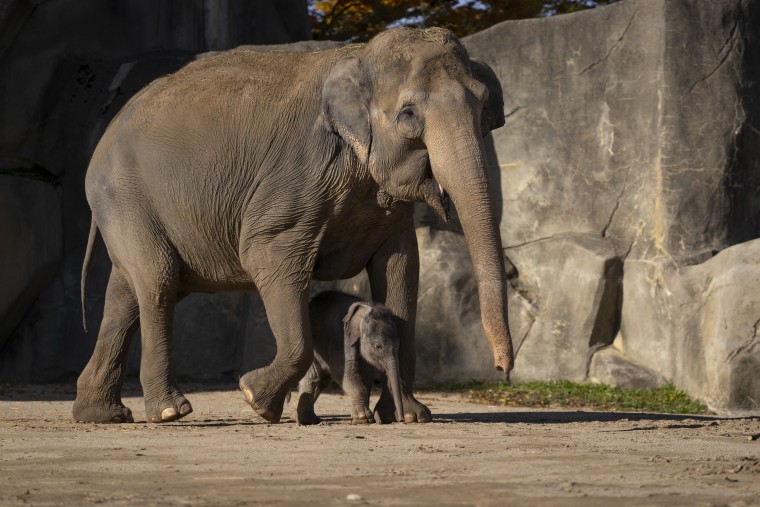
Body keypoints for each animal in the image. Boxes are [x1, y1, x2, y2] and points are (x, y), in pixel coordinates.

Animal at [294, 291, 404, 425]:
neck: (366, 307)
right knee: (313, 377)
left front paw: (362, 416)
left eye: (398, 345)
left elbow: (366, 374)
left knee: (323, 381)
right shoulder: (340, 336)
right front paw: (364, 418)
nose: (401, 419)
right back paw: (307, 420)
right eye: (378, 346)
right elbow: (342, 371)